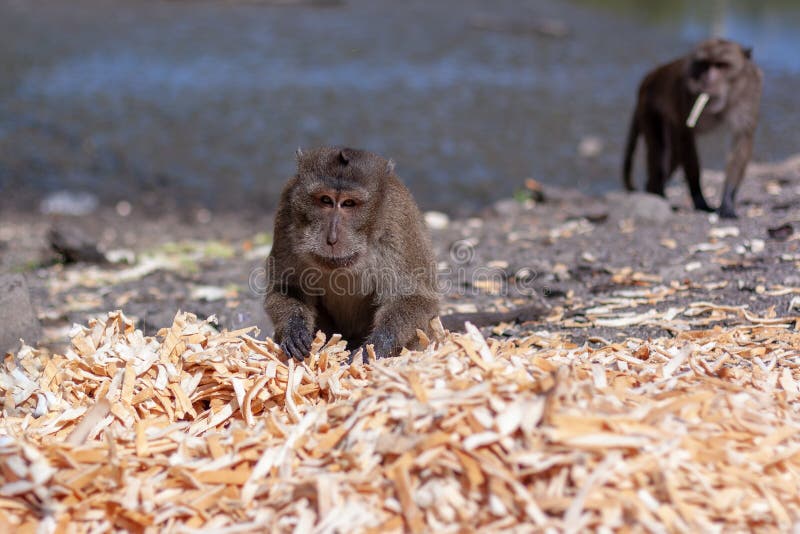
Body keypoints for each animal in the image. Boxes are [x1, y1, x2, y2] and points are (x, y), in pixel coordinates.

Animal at [264, 147, 546, 361]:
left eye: (349, 204)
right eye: (325, 200)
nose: (331, 238)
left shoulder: (398, 218)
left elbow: (415, 296)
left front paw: (375, 348)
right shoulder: (287, 208)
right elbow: (286, 286)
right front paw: (294, 329)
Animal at [622, 38, 762, 218]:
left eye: (721, 65)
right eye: (704, 65)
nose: (708, 81)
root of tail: (649, 77)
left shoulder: (750, 92)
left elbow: (743, 138)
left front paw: (727, 200)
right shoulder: (686, 93)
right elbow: (686, 136)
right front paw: (699, 199)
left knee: (673, 155)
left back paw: (652, 189)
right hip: (649, 108)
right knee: (659, 150)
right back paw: (657, 191)